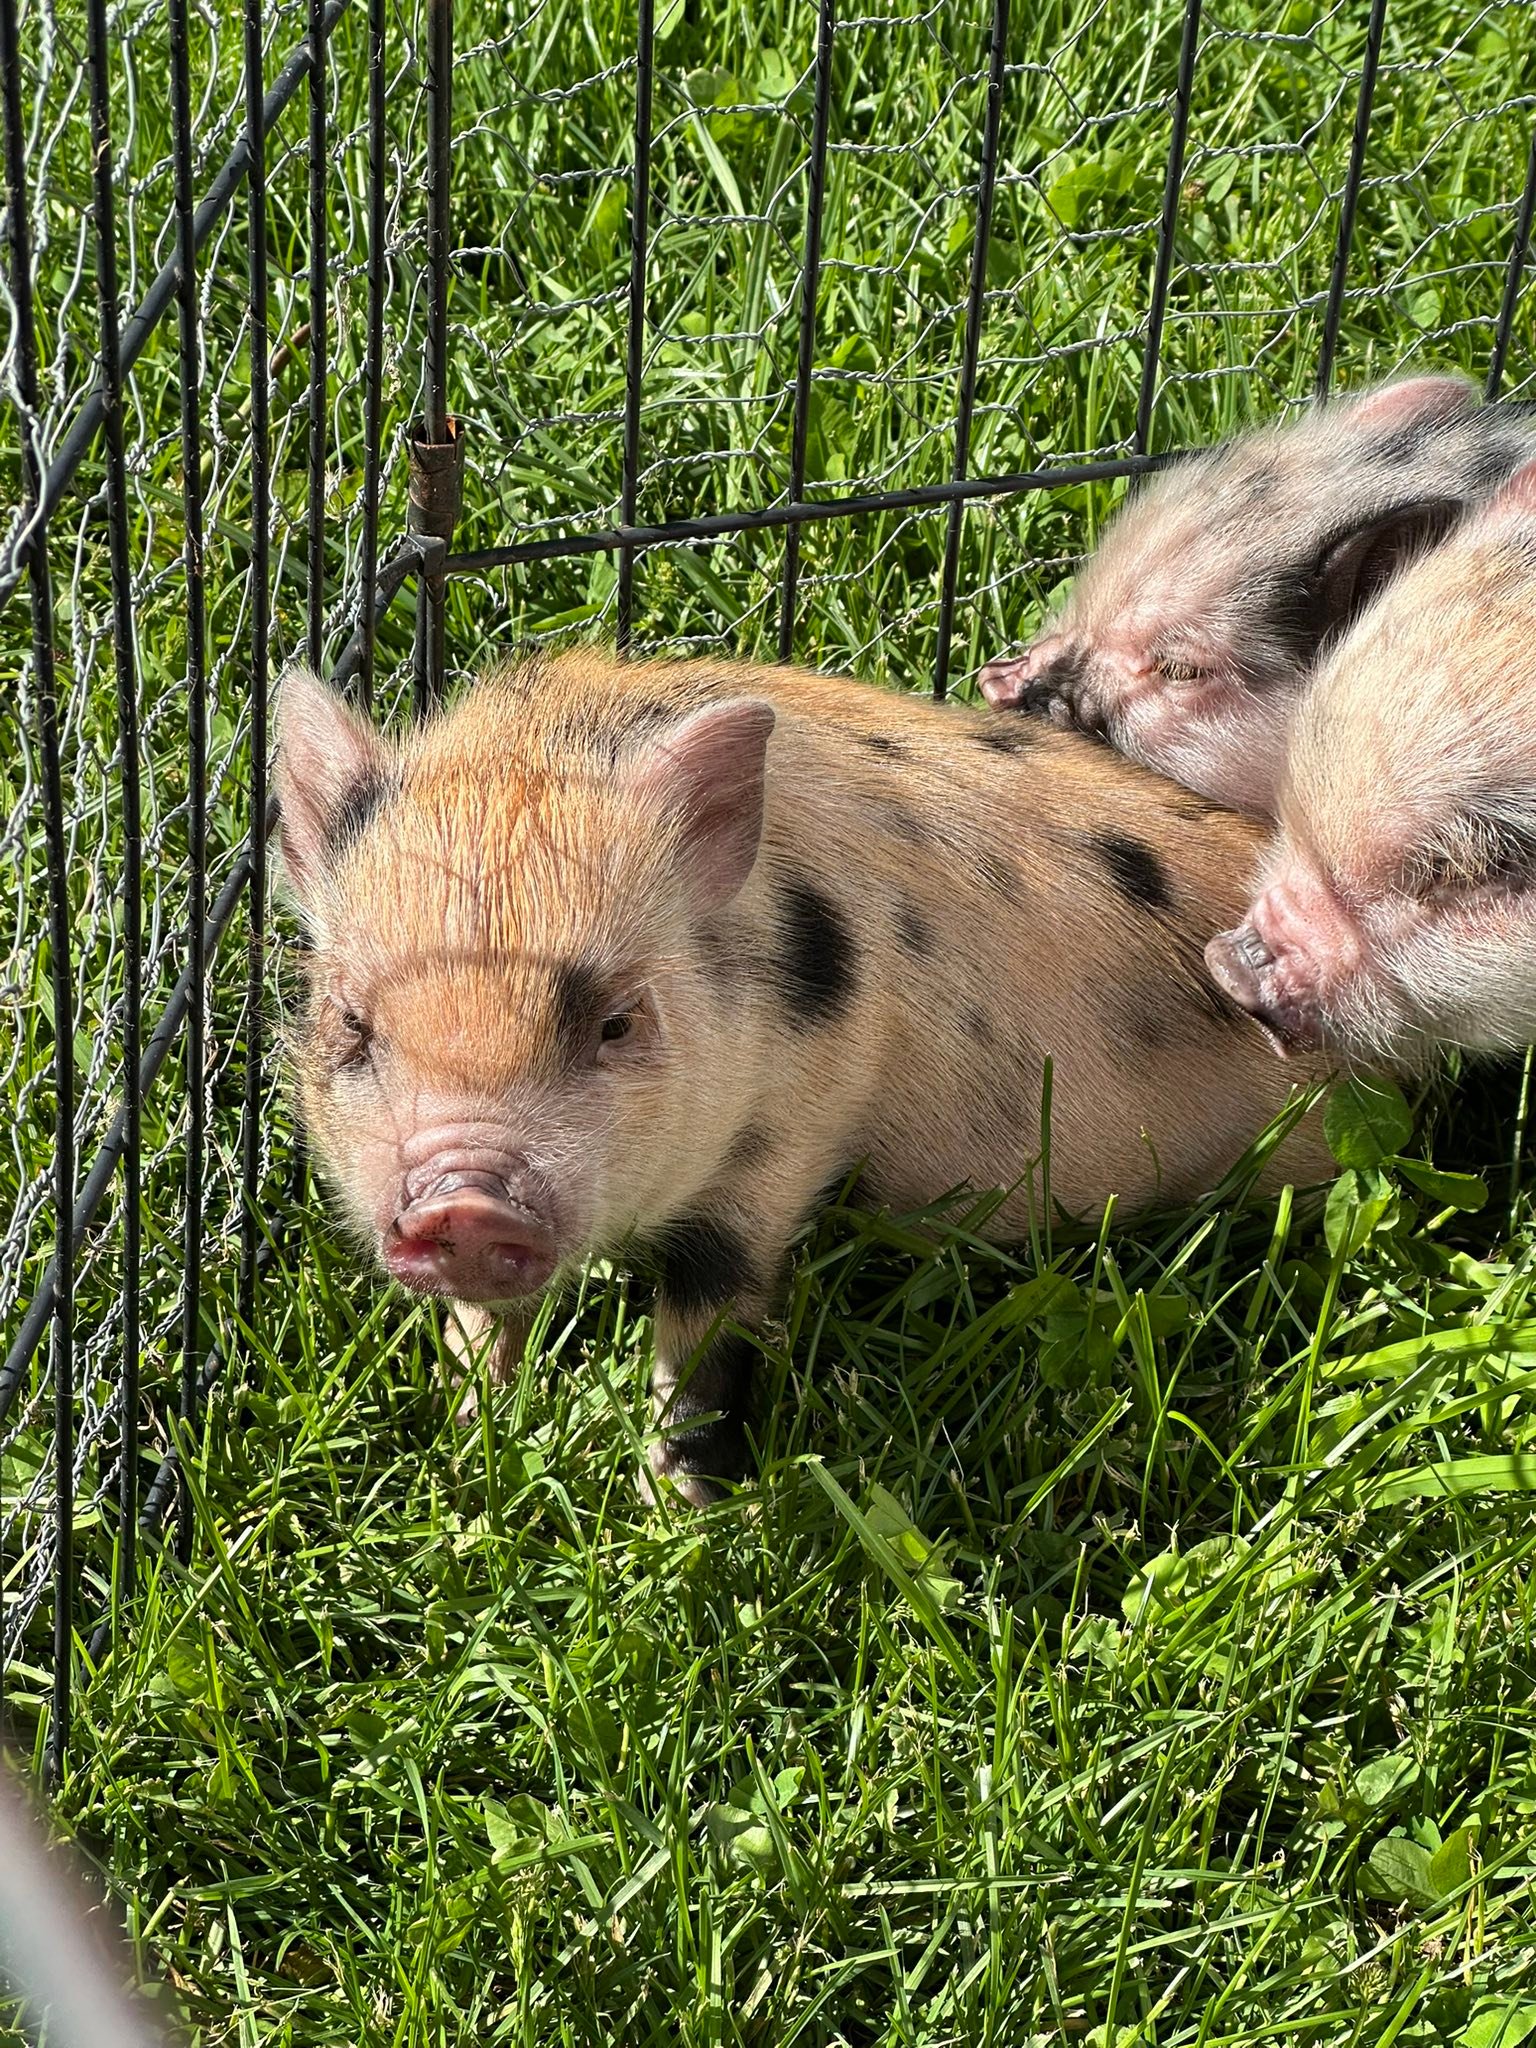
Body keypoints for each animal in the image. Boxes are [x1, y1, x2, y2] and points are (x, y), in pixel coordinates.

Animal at [275, 649, 1327, 1505]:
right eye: (352, 1023)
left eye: (617, 1021)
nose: (463, 1200)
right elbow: (483, 1325)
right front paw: (462, 1431)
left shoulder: (795, 1131)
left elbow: (708, 1328)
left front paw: (676, 1513)